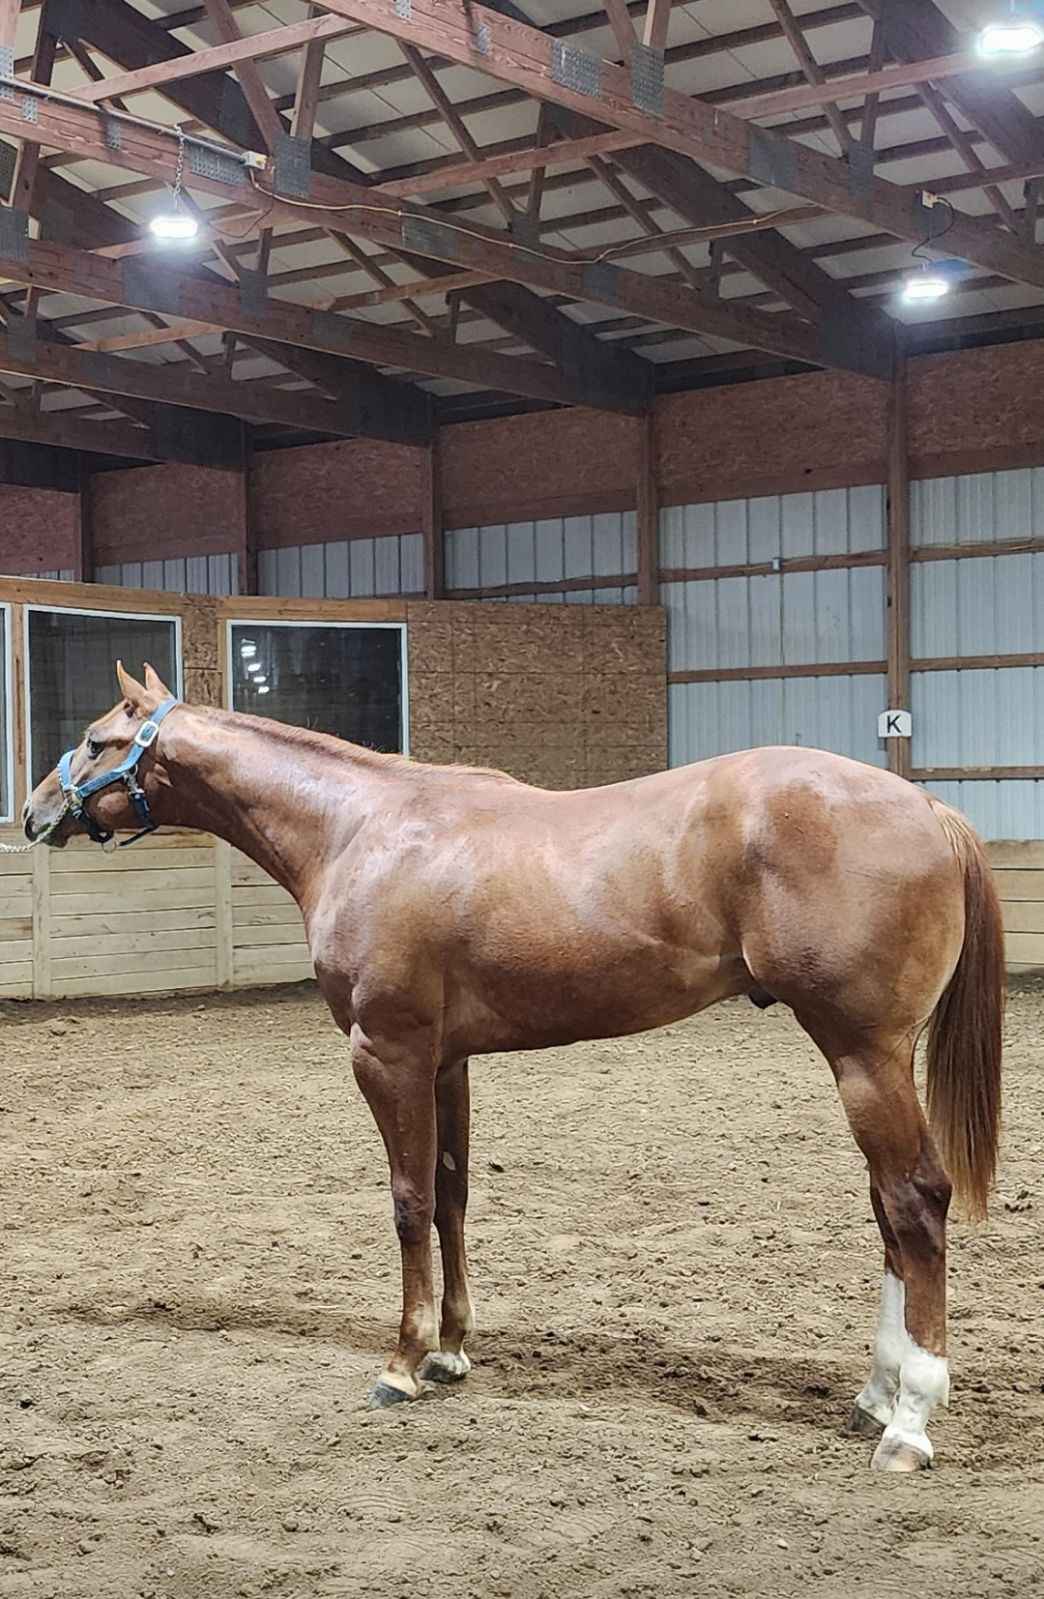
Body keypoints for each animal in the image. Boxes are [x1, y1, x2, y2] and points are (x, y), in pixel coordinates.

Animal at [24, 662, 1004, 1474]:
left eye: (98, 739)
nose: (36, 812)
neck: (359, 829)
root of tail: (928, 809)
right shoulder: (446, 1061)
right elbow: (452, 1194)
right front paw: (453, 1350)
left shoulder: (386, 1052)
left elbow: (407, 1200)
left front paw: (402, 1361)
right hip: (864, 1058)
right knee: (886, 1209)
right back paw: (873, 1394)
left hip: (864, 1054)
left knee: (915, 1202)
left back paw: (909, 1421)